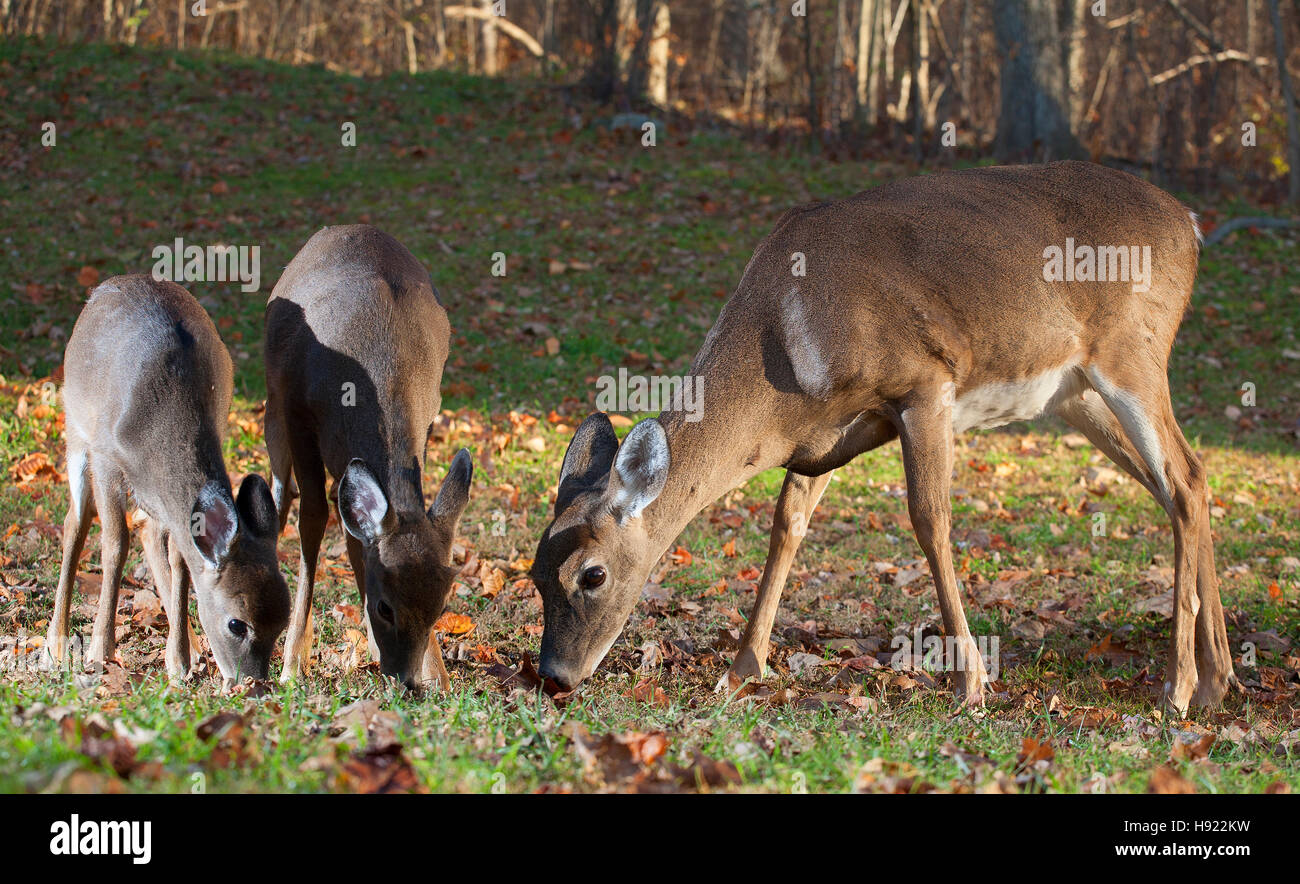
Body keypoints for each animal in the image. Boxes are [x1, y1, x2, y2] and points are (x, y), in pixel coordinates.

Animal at [47, 275, 290, 687]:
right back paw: (57, 645)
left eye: (283, 623)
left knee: (149, 529)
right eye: (237, 624)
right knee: (75, 521)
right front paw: (99, 652)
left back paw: (189, 645)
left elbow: (180, 557)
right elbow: (114, 545)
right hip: (75, 428)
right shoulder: (106, 456)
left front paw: (178, 662)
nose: (254, 686)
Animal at [265, 225, 473, 692]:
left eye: (440, 609)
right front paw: (292, 662)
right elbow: (312, 518)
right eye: (385, 607)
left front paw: (438, 673)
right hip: (271, 408)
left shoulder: (429, 417)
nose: (408, 682)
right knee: (281, 496)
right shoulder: (297, 409)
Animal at [531, 160, 1236, 716]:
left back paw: (1178, 688)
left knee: (1184, 476)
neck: (785, 361)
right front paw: (740, 671)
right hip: (1077, 393)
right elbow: (787, 525)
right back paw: (1216, 680)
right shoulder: (821, 439)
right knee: (1186, 483)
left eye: (591, 575)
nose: (553, 678)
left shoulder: (924, 384)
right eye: (534, 574)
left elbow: (929, 519)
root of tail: (1192, 226)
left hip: (1132, 353)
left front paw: (970, 683)